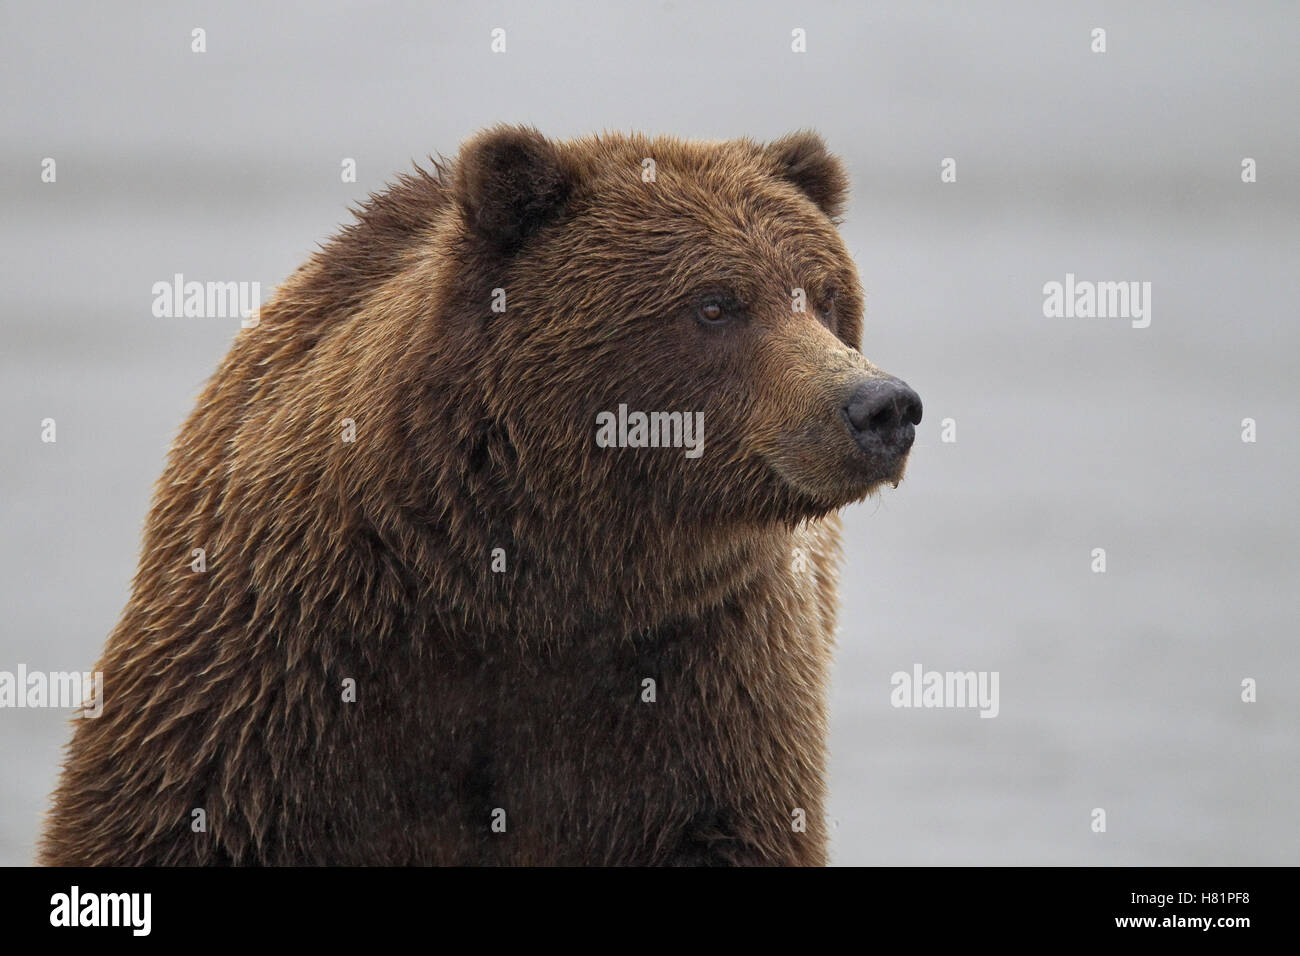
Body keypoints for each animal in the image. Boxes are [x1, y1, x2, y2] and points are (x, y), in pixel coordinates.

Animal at [39, 127, 921, 866]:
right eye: (714, 302)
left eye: (826, 296)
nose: (880, 406)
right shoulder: (278, 673)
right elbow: (171, 815)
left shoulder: (705, 690)